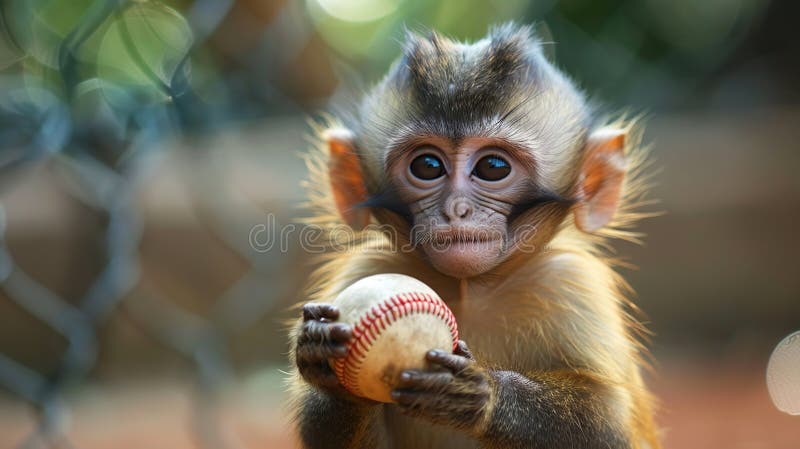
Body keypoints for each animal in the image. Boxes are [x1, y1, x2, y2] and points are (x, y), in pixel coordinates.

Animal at [287, 23, 660, 449]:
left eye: (493, 167)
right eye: (427, 165)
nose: (457, 209)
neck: (471, 290)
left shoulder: (568, 281)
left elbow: (611, 426)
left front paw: (479, 394)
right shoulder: (369, 265)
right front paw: (322, 354)